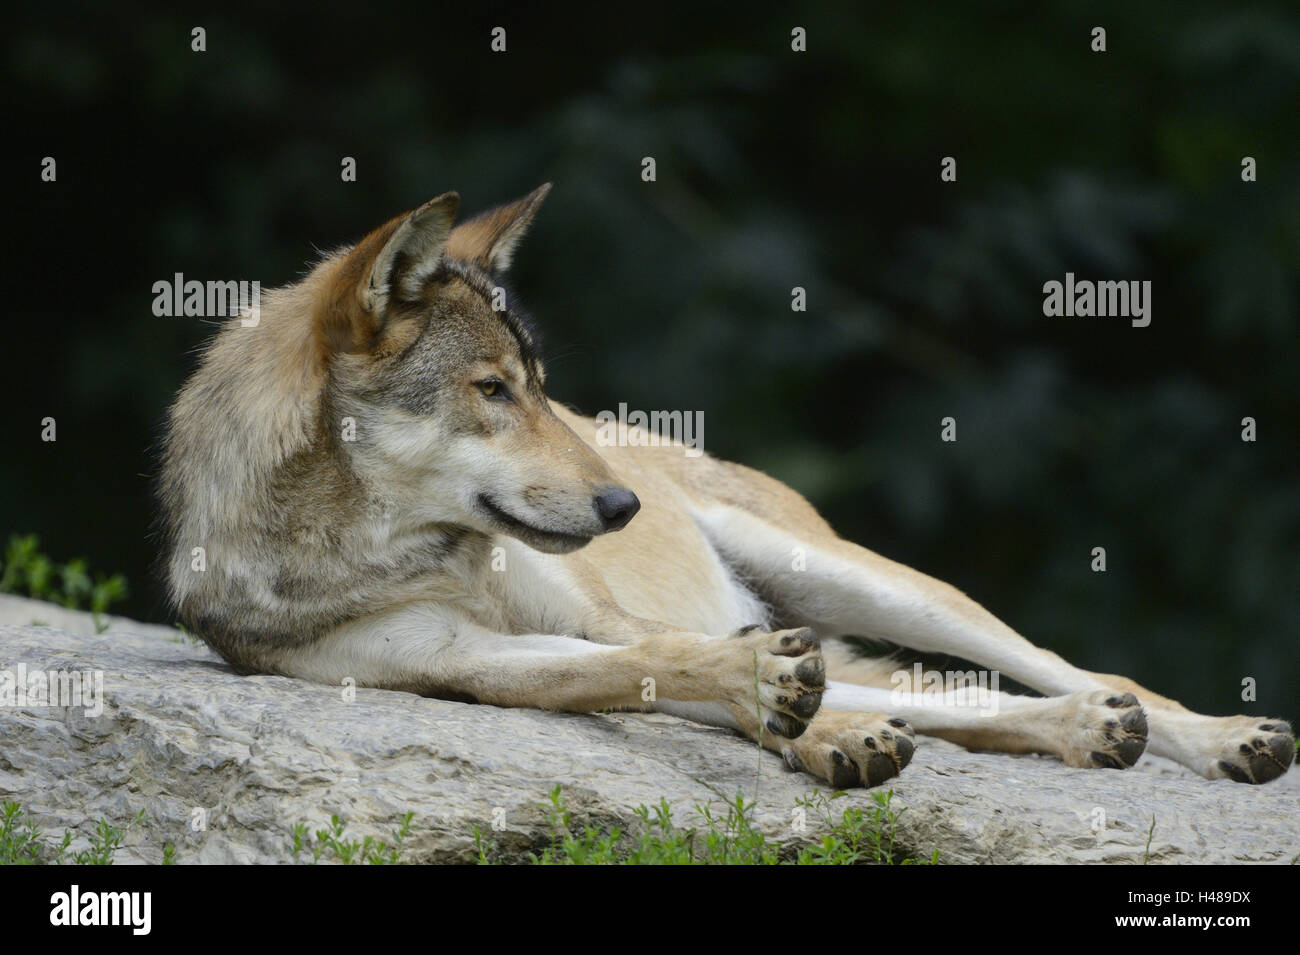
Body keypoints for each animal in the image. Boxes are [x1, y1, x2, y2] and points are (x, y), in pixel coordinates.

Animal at [158, 185, 1294, 789]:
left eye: (542, 387)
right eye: (491, 389)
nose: (622, 506)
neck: (370, 552)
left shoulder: (595, 613)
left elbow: (672, 656)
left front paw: (804, 720)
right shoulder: (458, 662)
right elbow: (659, 668)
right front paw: (804, 717)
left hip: (874, 581)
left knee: (1064, 667)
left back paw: (1212, 734)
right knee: (947, 699)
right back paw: (1074, 731)